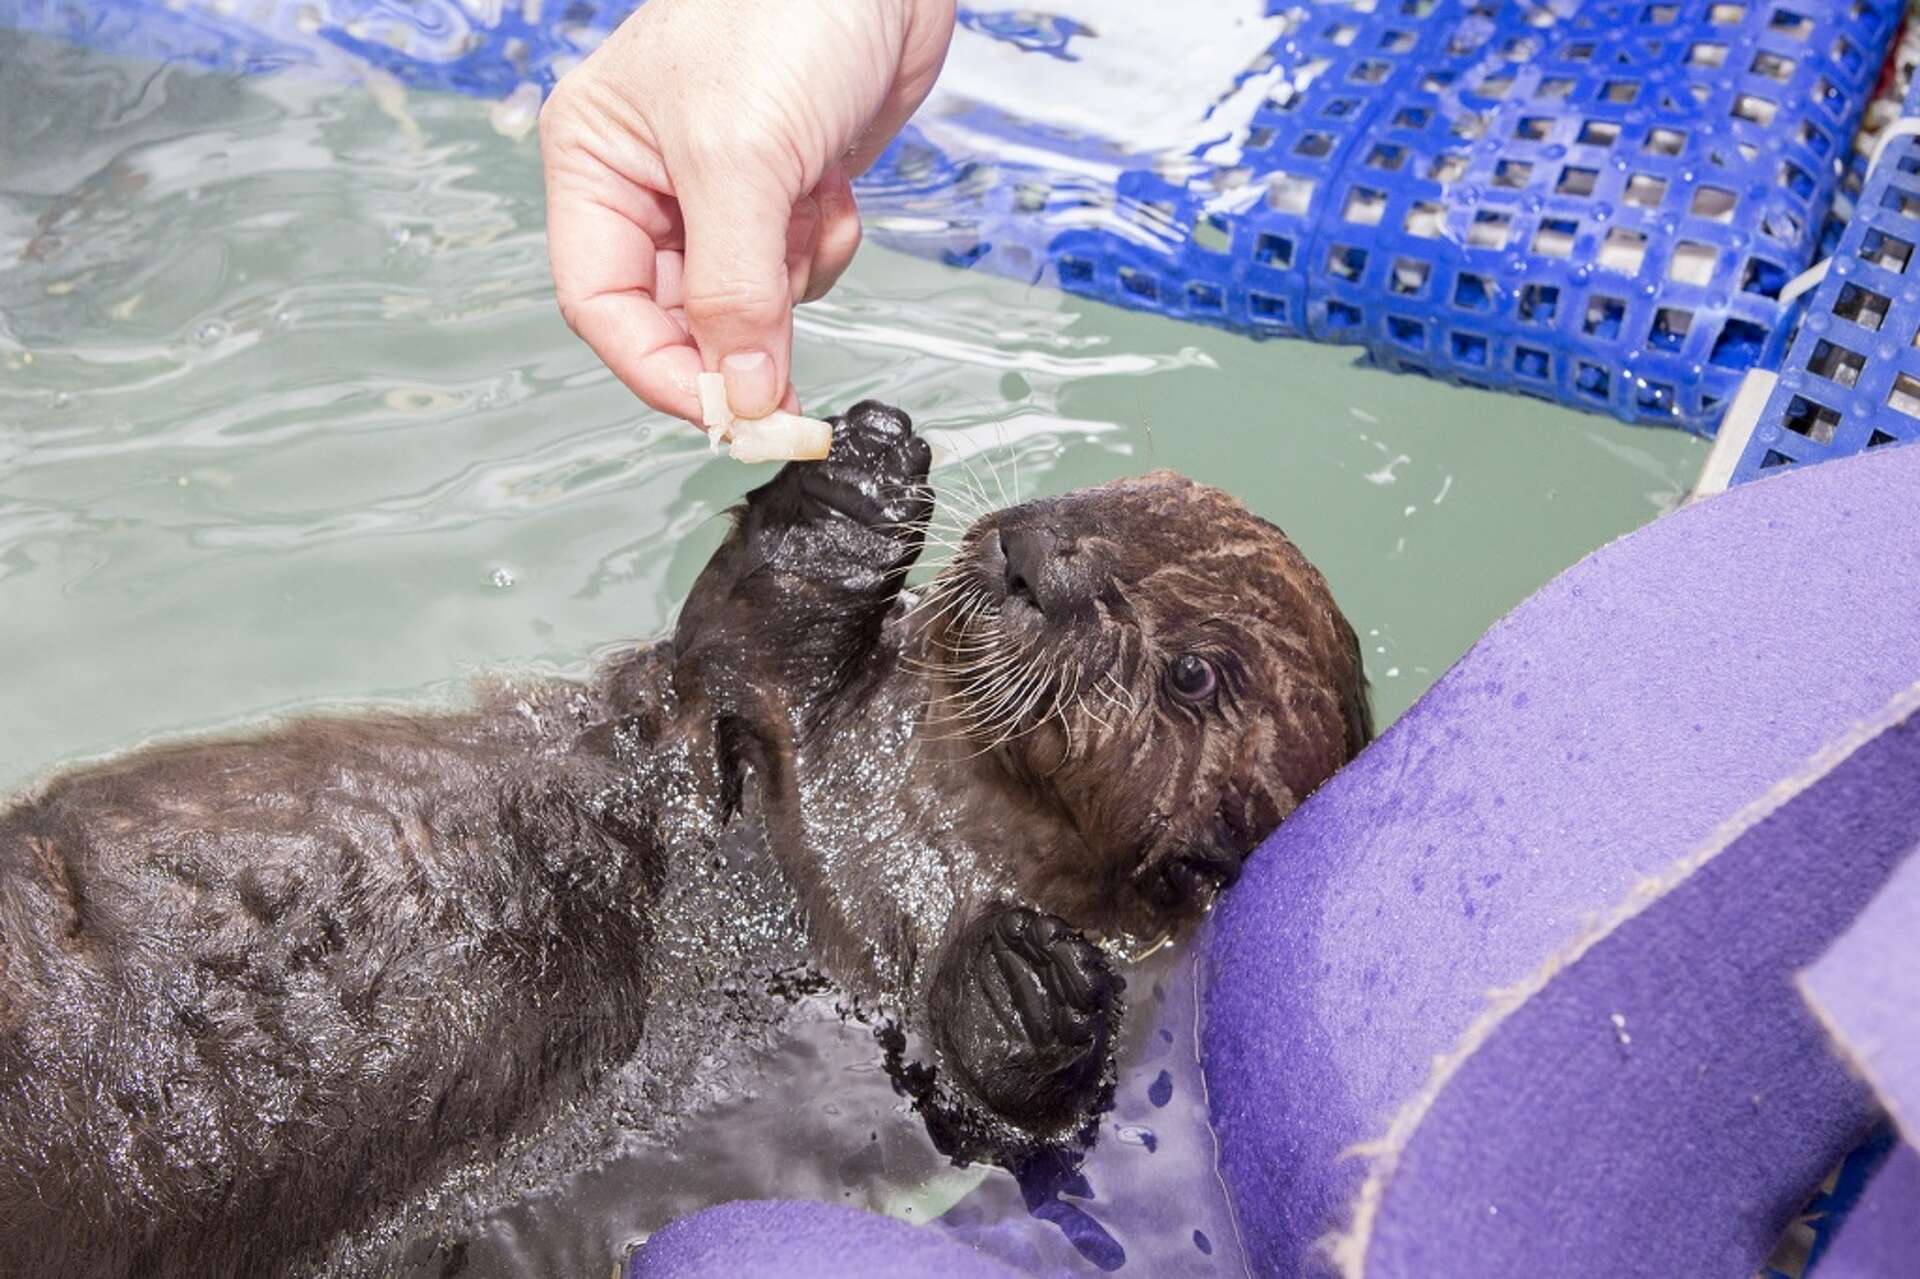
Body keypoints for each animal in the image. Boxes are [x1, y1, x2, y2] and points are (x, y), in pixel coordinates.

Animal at [0, 403, 1370, 1277]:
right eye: (1112, 498)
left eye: (1192, 673)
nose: (1033, 545)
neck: (918, 813)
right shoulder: (743, 721)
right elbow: (743, 643)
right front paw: (861, 476)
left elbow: (1008, 1121)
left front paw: (1027, 985)